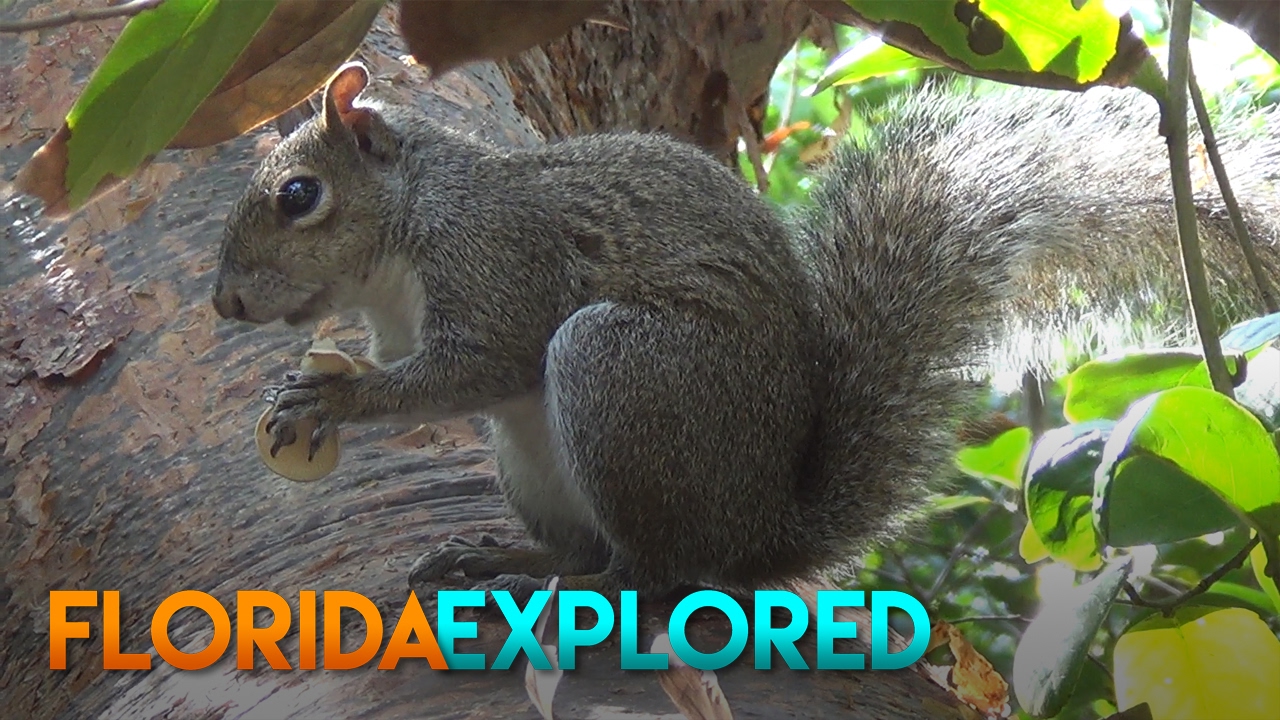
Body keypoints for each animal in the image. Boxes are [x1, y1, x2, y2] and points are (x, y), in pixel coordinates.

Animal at [212, 62, 1280, 599]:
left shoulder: (501, 260)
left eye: (299, 196)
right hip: (536, 456)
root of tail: (759, 529)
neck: (409, 223)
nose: (224, 304)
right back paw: (508, 560)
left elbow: (483, 362)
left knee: (648, 574)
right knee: (589, 554)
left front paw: (337, 393)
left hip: (621, 374)